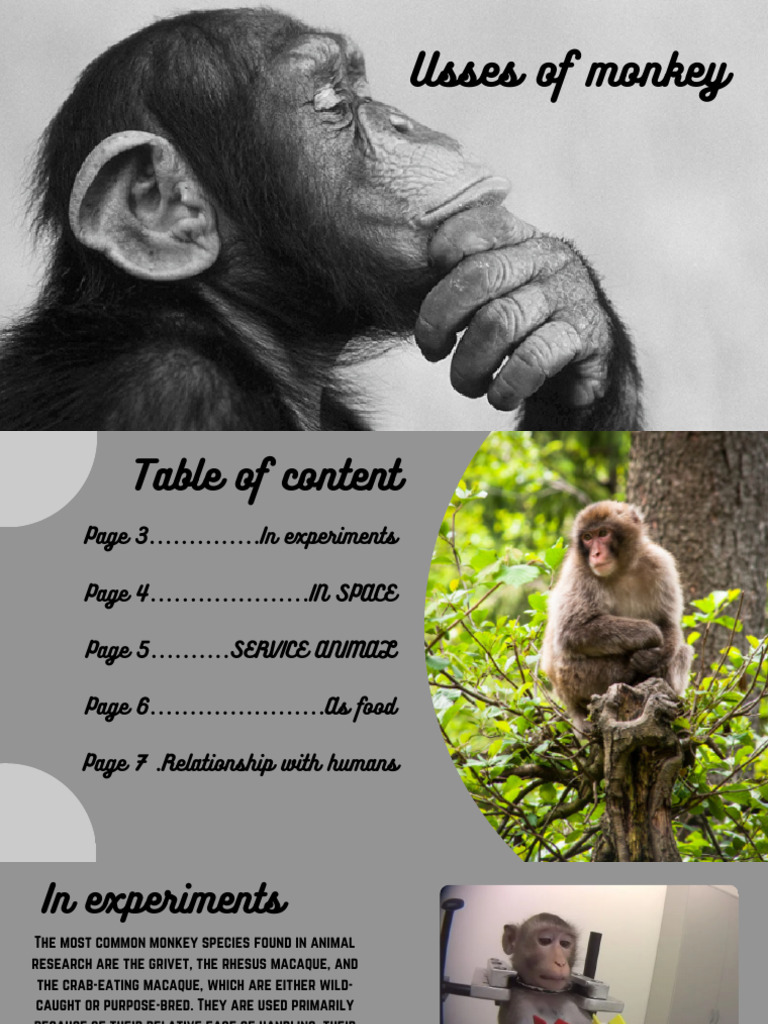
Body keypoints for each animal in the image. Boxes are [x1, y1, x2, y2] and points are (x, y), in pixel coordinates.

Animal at [540, 500, 692, 733]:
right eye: (587, 537)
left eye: (603, 533)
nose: (595, 554)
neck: (621, 570)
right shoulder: (579, 573)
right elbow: (572, 631)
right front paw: (650, 633)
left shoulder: (660, 563)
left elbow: (668, 623)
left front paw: (655, 655)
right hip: (575, 679)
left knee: (682, 650)